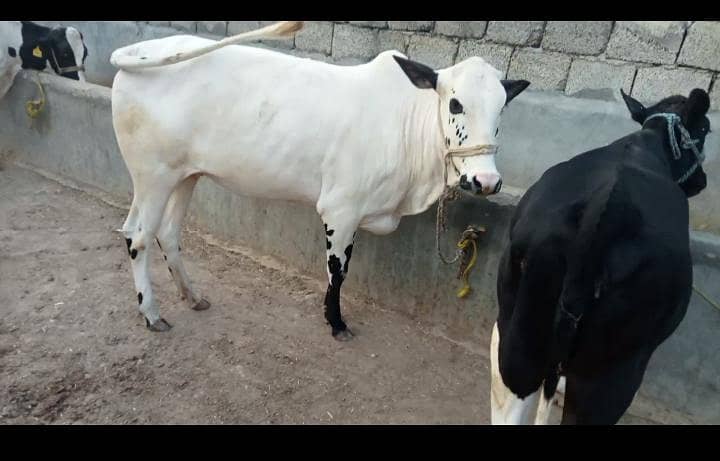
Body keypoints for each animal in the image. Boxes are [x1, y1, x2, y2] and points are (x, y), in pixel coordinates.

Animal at [109, 21, 530, 339]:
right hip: (152, 176)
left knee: (168, 233)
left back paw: (193, 296)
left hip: (185, 175)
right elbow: (338, 271)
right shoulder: (341, 209)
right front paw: (336, 322)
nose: (485, 180)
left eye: (502, 108)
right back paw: (152, 314)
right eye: (456, 103)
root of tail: (142, 49)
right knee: (138, 235)